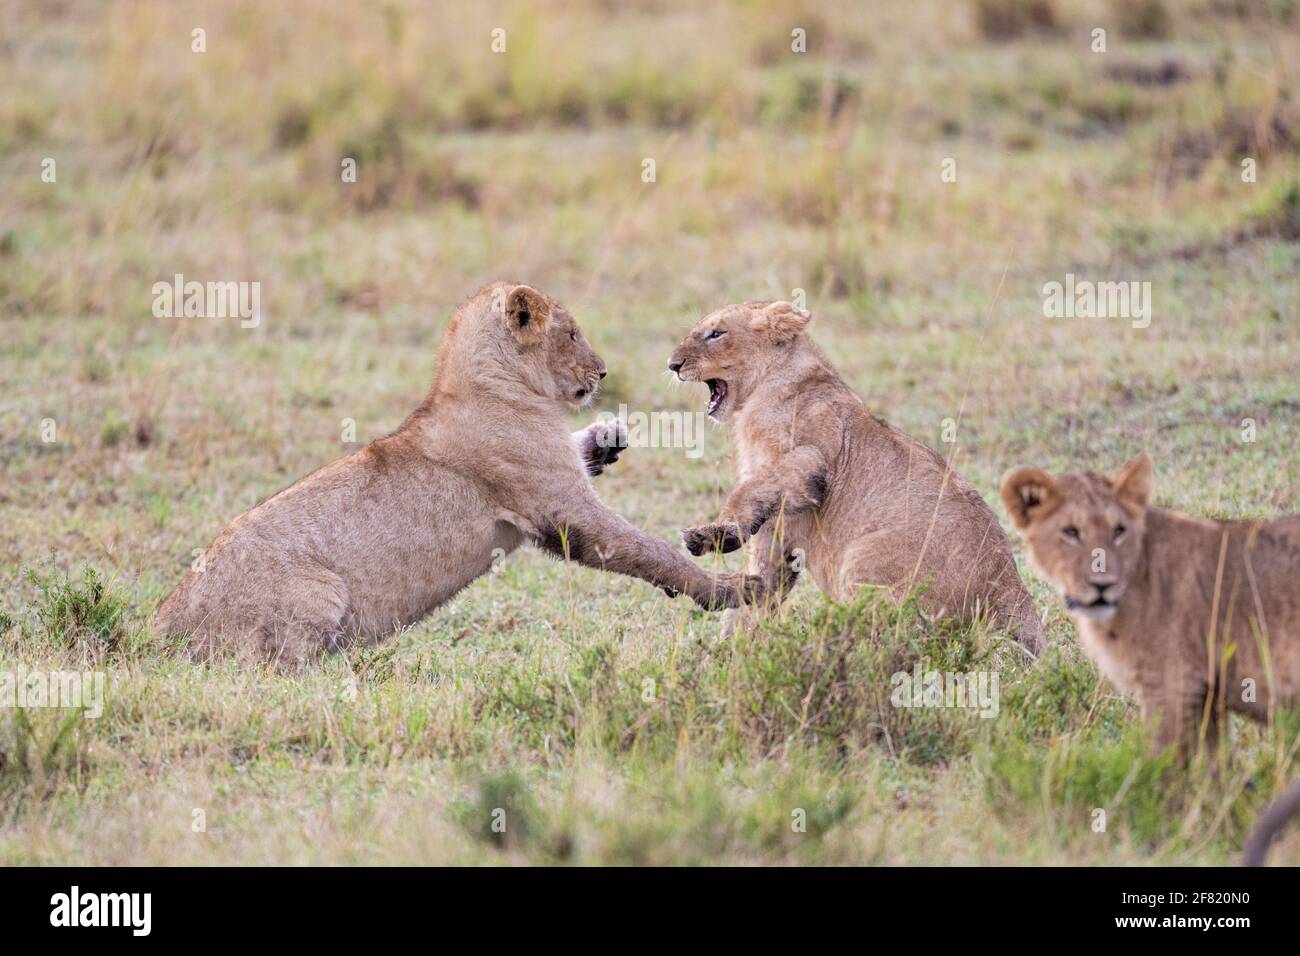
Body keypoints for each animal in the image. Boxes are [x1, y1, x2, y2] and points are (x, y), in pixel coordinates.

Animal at [155, 282, 770, 665]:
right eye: (571, 334)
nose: (601, 373)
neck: (489, 385)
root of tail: (159, 626)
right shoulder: (560, 509)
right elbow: (647, 549)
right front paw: (735, 589)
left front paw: (606, 439)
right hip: (315, 594)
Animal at [667, 300, 1044, 653]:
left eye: (716, 333)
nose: (673, 365)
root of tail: (1010, 584)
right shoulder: (776, 530)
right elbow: (755, 592)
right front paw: (729, 652)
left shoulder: (813, 459)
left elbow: (746, 491)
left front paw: (712, 534)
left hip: (863, 558)